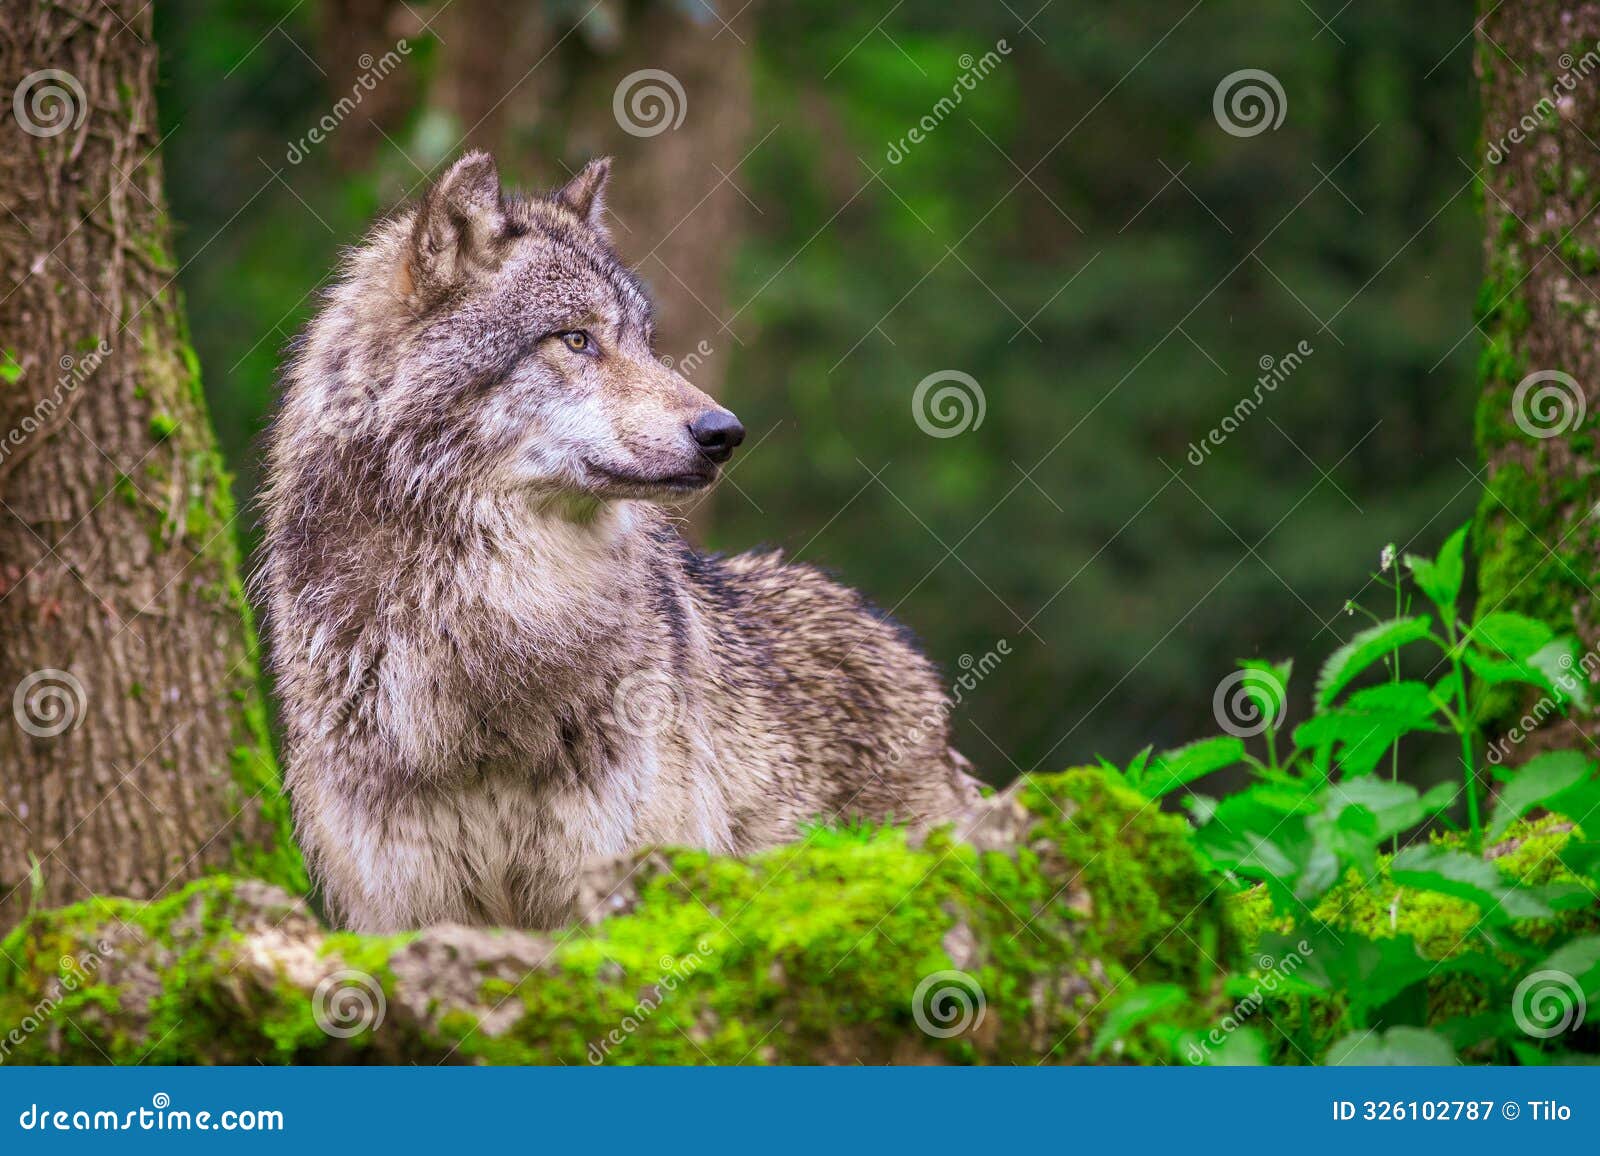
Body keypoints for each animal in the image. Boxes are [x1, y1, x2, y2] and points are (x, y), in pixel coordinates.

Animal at [258, 152, 980, 931]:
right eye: (576, 339)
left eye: (643, 343)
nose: (725, 433)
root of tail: (906, 650)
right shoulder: (412, 909)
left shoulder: (614, 882)